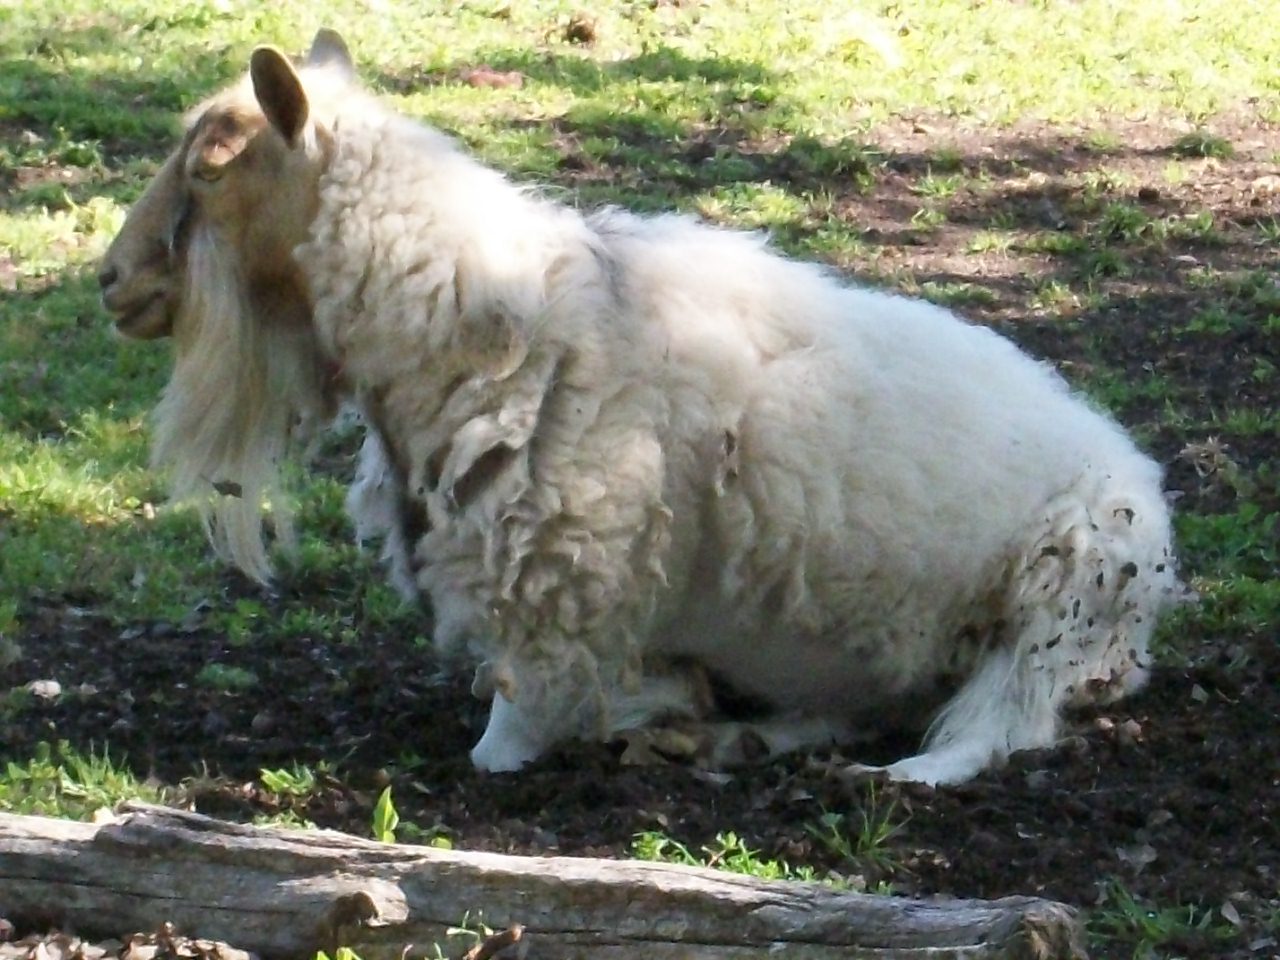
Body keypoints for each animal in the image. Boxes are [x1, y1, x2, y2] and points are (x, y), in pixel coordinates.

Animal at [99, 31, 1183, 785]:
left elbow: (510, 721)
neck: (487, 313)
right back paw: (730, 731)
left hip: (1065, 589)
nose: (112, 280)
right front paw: (661, 703)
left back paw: (901, 767)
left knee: (1006, 719)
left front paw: (554, 731)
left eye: (212, 162)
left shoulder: (555, 572)